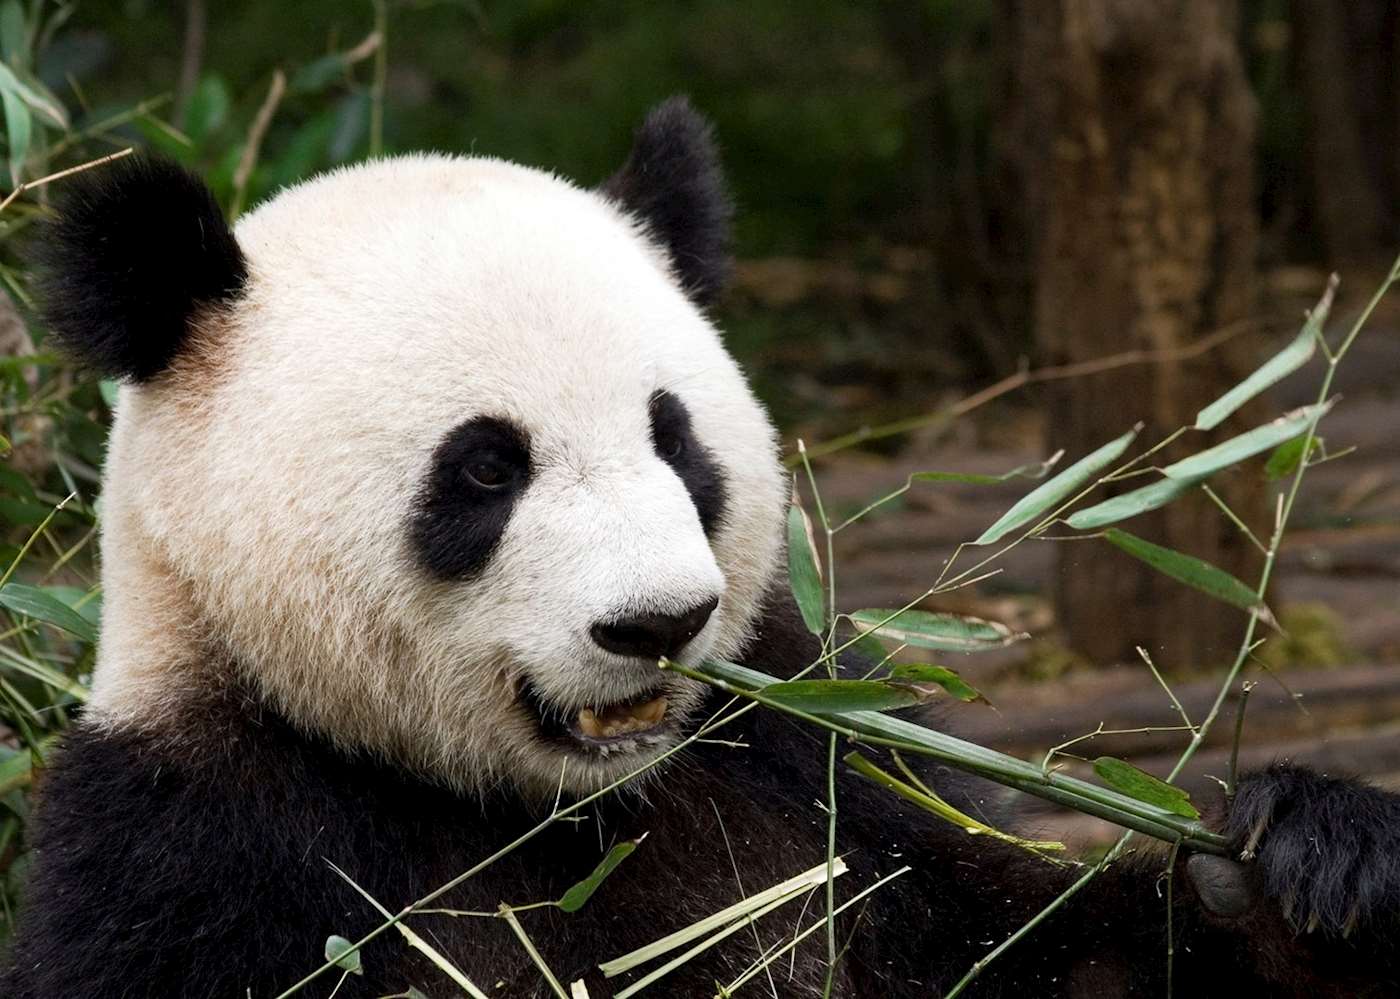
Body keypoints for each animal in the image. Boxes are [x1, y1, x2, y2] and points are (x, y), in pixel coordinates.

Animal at [3, 98, 1398, 998]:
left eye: (673, 437)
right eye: (485, 469)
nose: (657, 624)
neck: (558, 812)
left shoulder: (808, 766)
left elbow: (1029, 944)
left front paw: (1311, 866)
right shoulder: (206, 852)